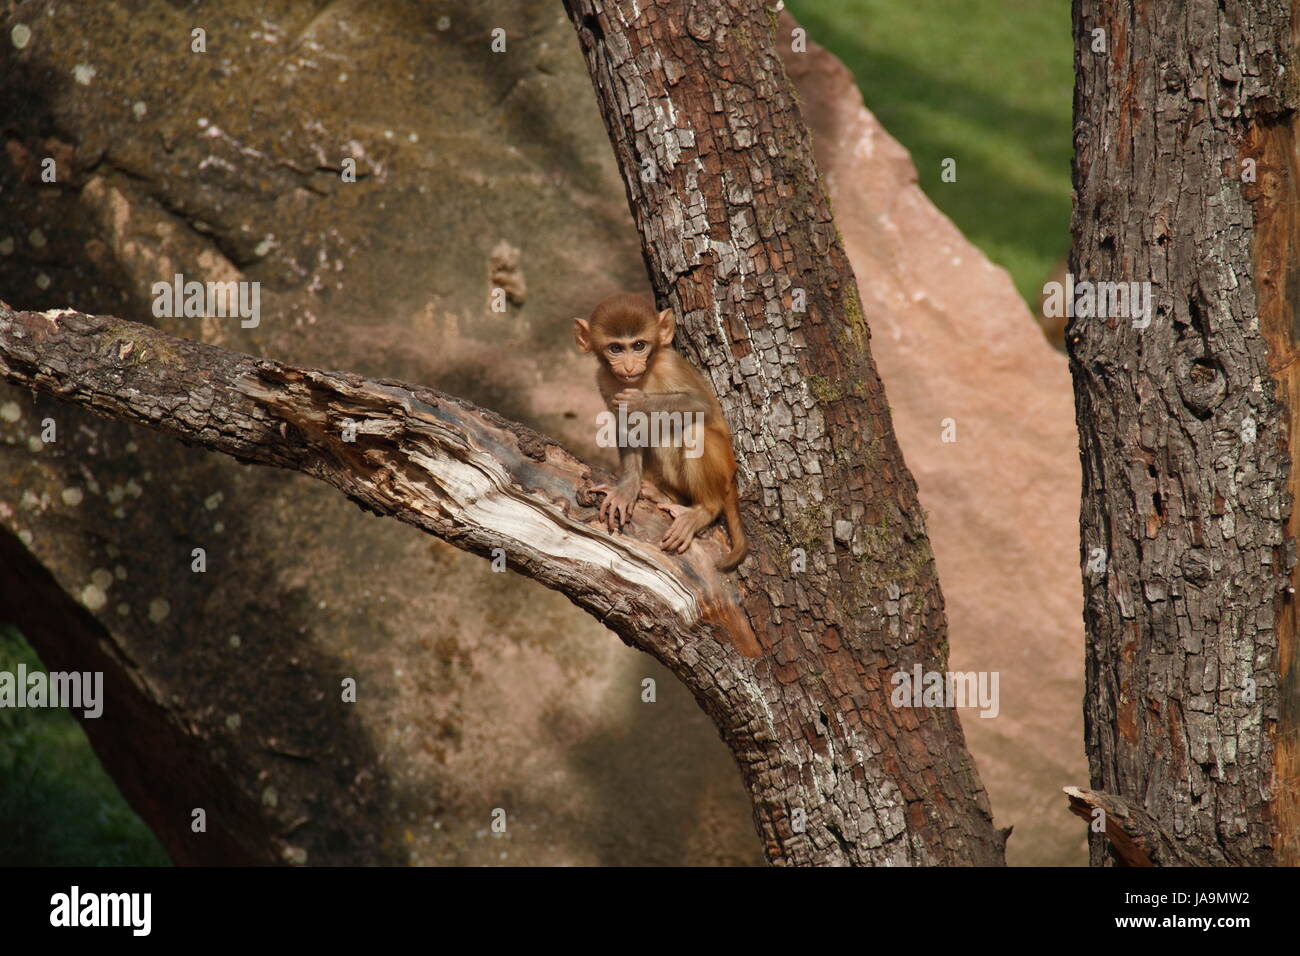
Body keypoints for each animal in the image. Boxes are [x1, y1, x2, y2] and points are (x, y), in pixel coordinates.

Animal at [575, 292, 748, 571]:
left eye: (638, 345)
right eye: (616, 349)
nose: (630, 366)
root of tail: (732, 474)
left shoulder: (670, 364)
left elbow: (702, 406)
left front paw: (640, 401)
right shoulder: (604, 379)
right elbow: (626, 427)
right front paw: (626, 488)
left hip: (723, 466)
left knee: (694, 430)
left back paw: (705, 510)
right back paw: (661, 494)